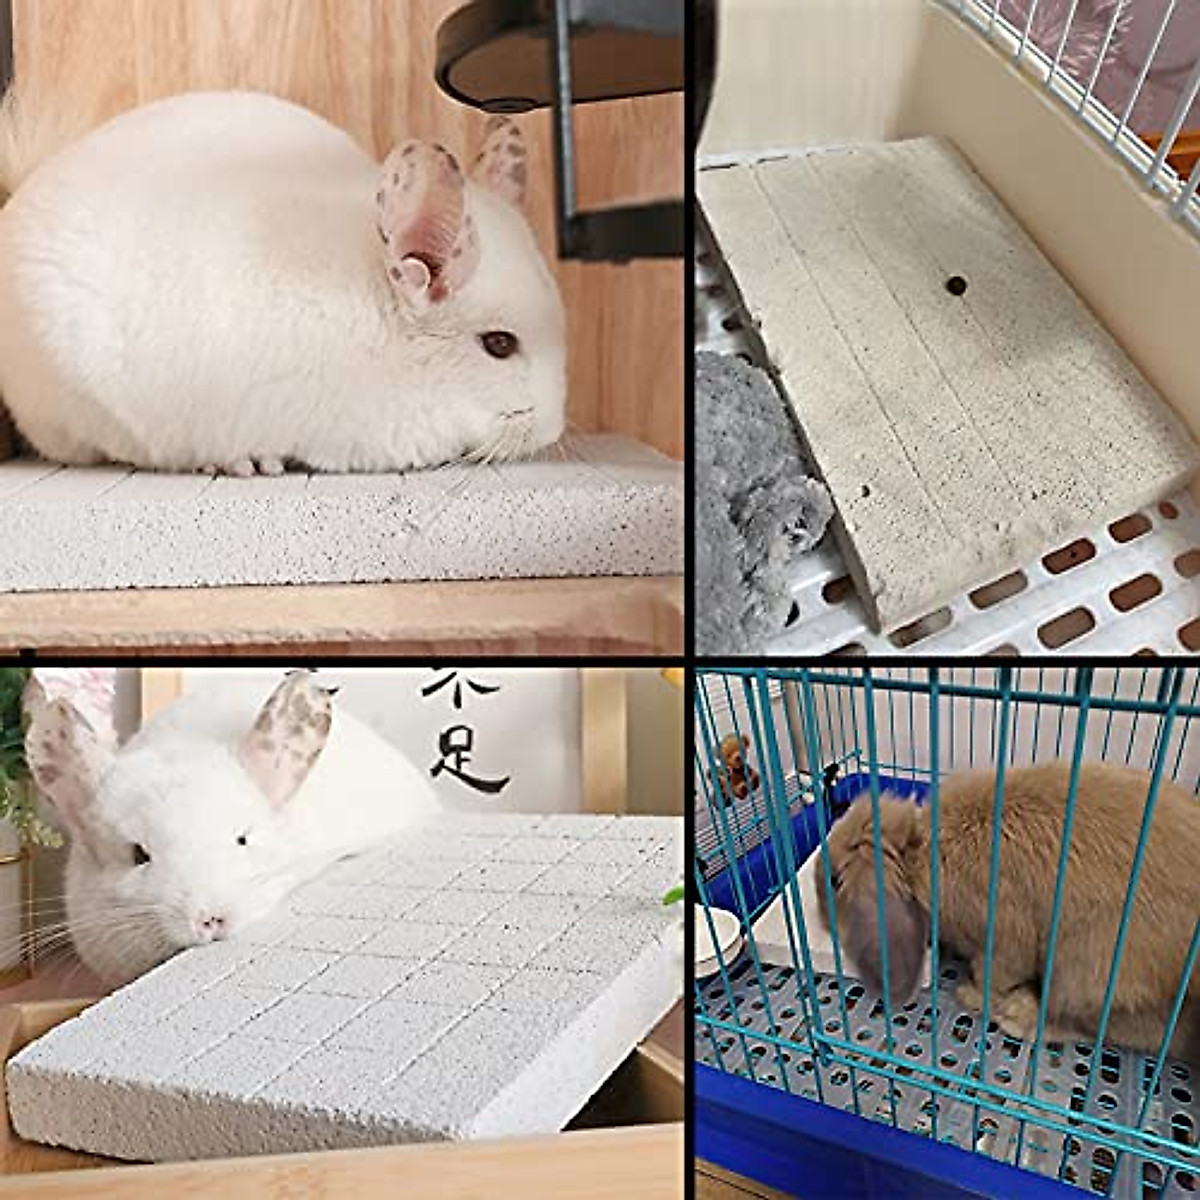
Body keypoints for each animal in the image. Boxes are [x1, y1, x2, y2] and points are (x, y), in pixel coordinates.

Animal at [815, 762, 1200, 1060]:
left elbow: (993, 973)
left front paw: (969, 992)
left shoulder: (1001, 939)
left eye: (835, 881)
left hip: (1086, 973)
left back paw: (1015, 1013)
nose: (821, 922)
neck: (917, 853)